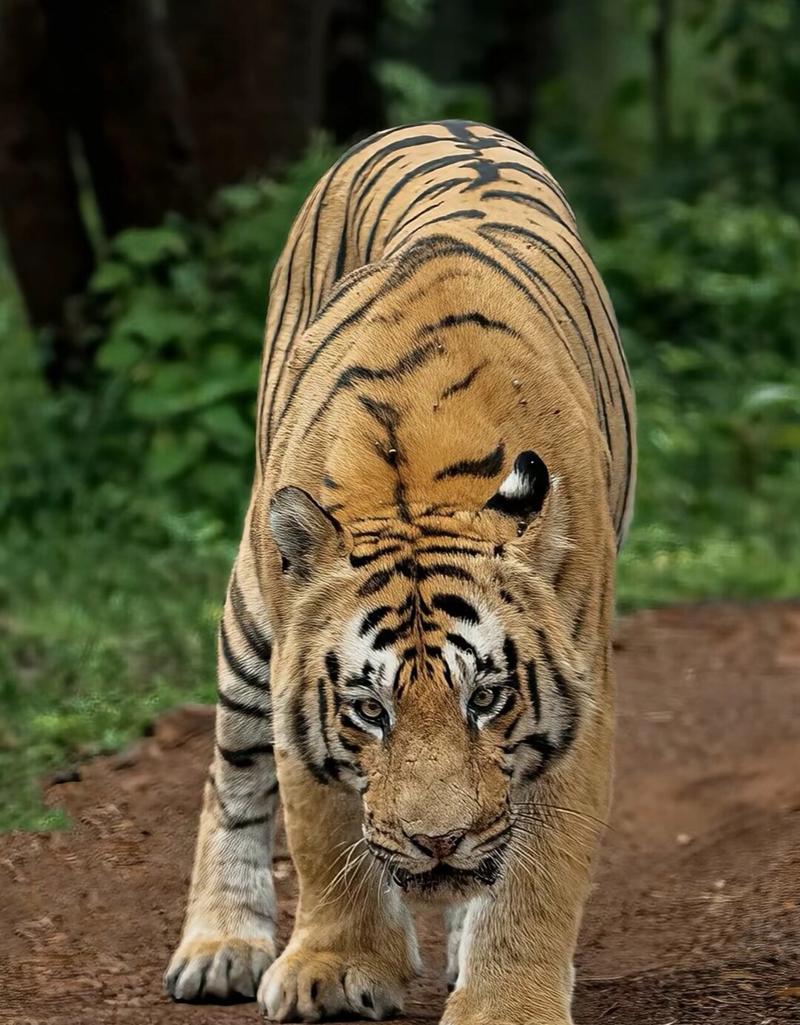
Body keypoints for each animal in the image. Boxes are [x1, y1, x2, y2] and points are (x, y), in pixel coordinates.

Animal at [164, 119, 635, 1025]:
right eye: (368, 709)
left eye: (486, 699)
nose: (437, 842)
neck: (420, 479)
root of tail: (439, 121)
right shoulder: (294, 668)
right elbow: (319, 830)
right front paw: (335, 966)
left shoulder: (579, 695)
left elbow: (536, 873)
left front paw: (504, 1003)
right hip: (247, 616)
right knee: (228, 780)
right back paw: (219, 946)